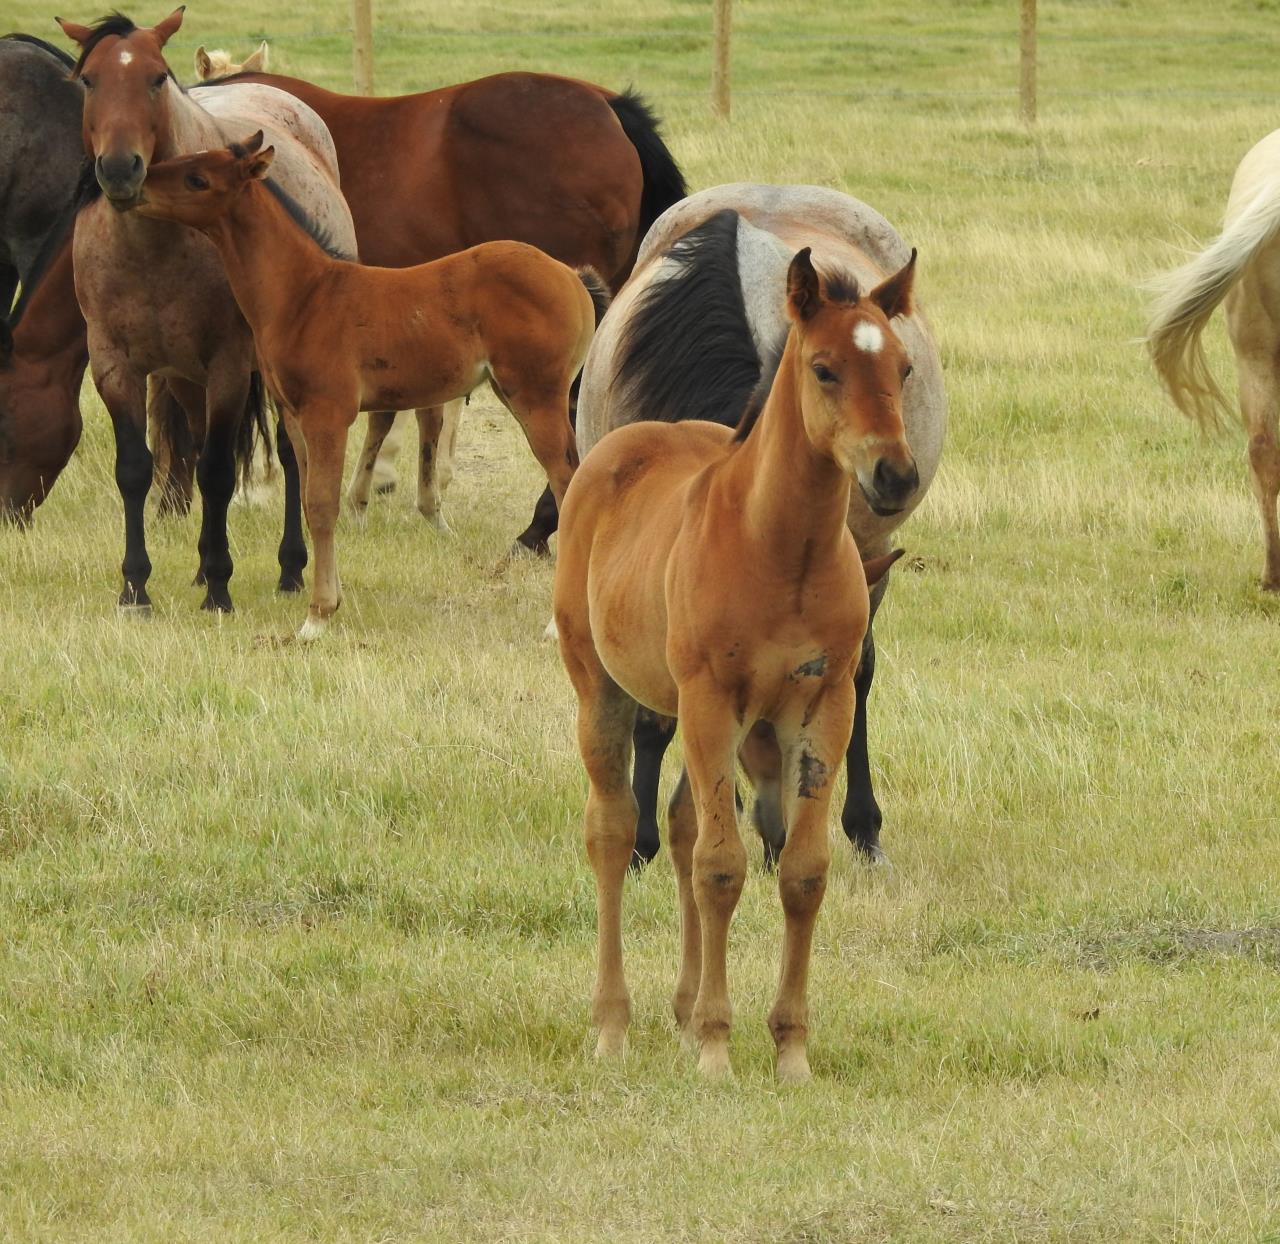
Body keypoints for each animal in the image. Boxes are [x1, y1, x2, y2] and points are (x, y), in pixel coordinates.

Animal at [57, 9, 357, 612]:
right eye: (89, 80)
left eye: (156, 78)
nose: (120, 169)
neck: (151, 246)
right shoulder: (115, 365)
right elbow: (137, 469)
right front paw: (136, 588)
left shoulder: (228, 366)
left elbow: (218, 472)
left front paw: (220, 586)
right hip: (183, 376)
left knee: (292, 456)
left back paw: (290, 570)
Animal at [131, 134, 608, 639]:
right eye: (187, 160)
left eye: (197, 179)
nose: (133, 184)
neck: (303, 296)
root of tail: (571, 275)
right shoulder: (296, 417)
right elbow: (309, 503)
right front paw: (328, 601)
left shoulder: (328, 414)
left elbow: (323, 504)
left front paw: (316, 617)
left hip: (536, 396)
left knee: (566, 480)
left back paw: (557, 624)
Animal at [555, 245, 920, 1081]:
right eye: (824, 369)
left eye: (905, 367)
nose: (895, 475)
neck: (781, 552)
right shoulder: (712, 700)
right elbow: (721, 868)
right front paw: (719, 1052)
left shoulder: (822, 707)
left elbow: (801, 871)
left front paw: (789, 1051)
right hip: (604, 690)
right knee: (614, 831)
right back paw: (612, 1026)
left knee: (683, 822)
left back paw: (683, 1012)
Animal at [574, 186, 947, 868]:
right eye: (823, 371)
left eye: (904, 371)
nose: (893, 476)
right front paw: (643, 839)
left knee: (861, 677)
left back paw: (858, 826)